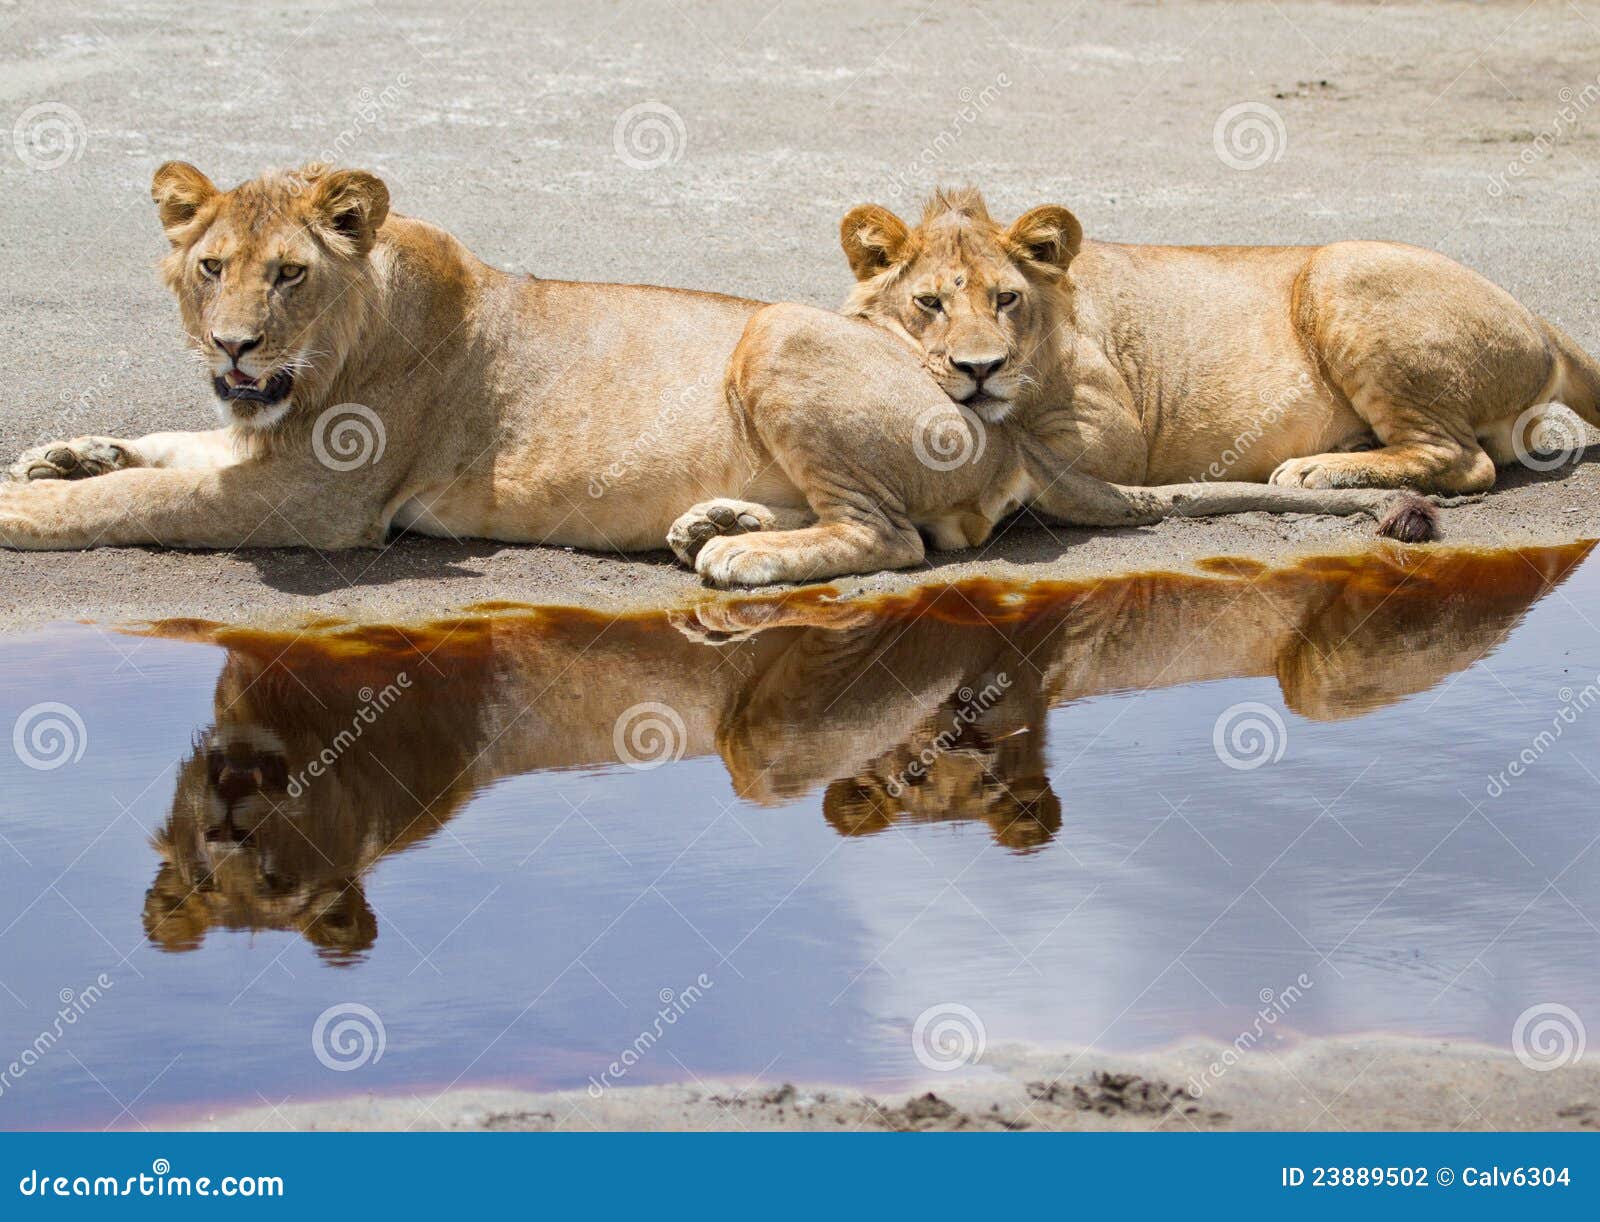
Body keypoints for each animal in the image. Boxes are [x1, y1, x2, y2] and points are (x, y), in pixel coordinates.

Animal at [0, 163, 1434, 586]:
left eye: (289, 275)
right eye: (210, 269)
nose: (236, 345)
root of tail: (1006, 422)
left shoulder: (311, 501)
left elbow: (134, 501)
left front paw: (28, 504)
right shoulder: (254, 442)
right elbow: (154, 450)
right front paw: (58, 449)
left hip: (775, 337)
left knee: (894, 540)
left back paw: (739, 554)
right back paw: (714, 519)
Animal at [840, 188, 1600, 493]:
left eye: (1006, 298)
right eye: (930, 303)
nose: (981, 369)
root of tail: (1539, 320)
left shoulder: (1115, 433)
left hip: (1339, 268)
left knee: (1466, 461)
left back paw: (1317, 471)